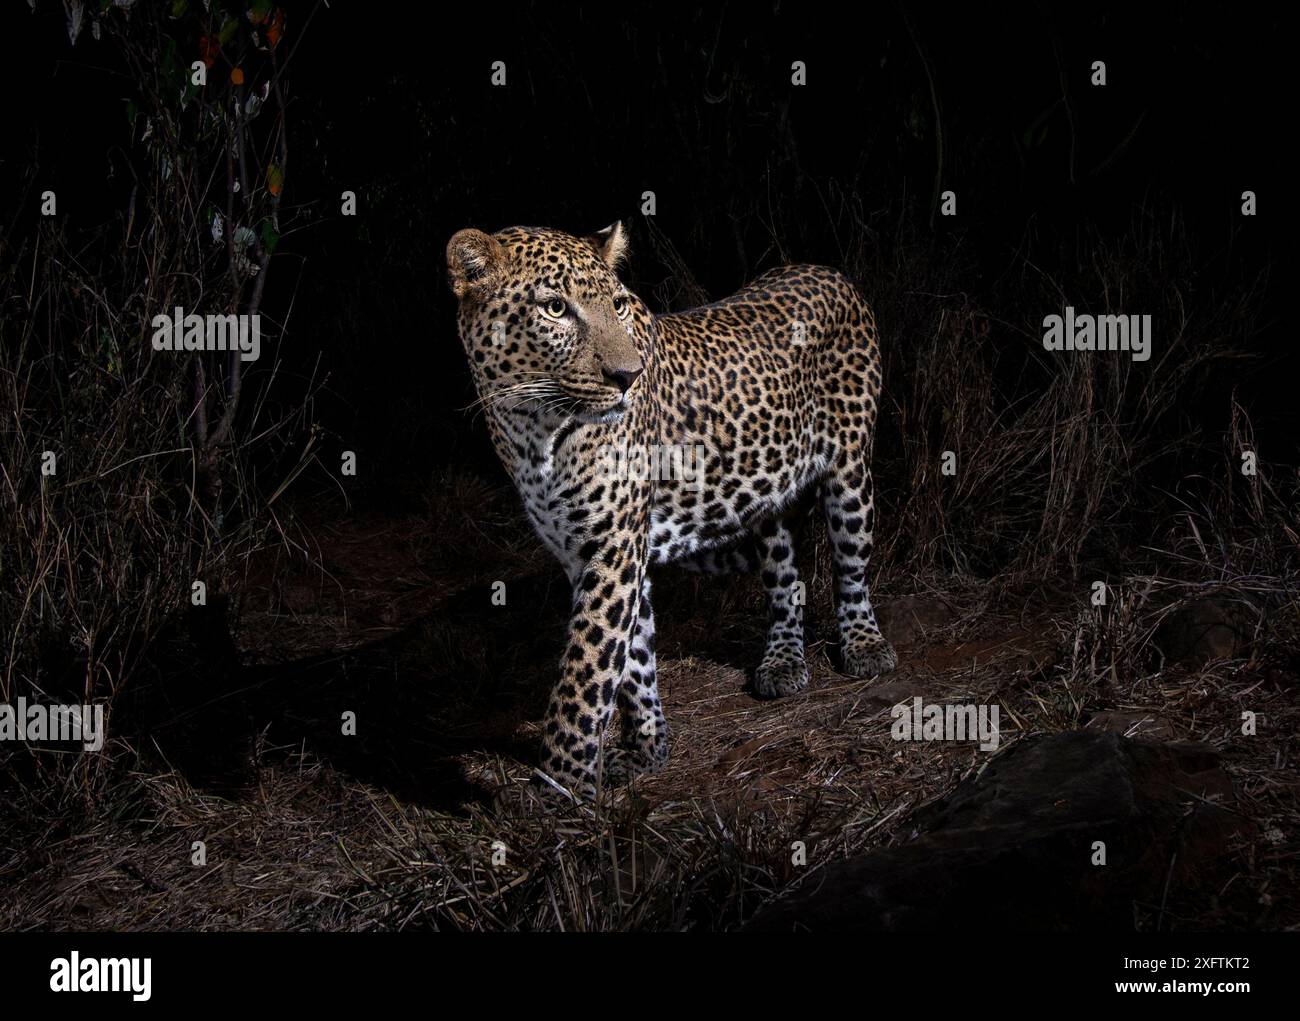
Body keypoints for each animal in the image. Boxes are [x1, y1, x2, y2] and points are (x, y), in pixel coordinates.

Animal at [447, 220, 895, 799]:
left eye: (616, 303)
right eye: (554, 308)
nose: (627, 376)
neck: (531, 429)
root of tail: (827, 271)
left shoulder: (612, 549)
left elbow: (585, 674)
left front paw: (558, 789)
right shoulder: (593, 553)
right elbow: (631, 661)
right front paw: (646, 748)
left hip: (849, 471)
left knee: (852, 566)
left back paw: (864, 645)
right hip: (767, 493)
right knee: (784, 576)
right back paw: (782, 660)